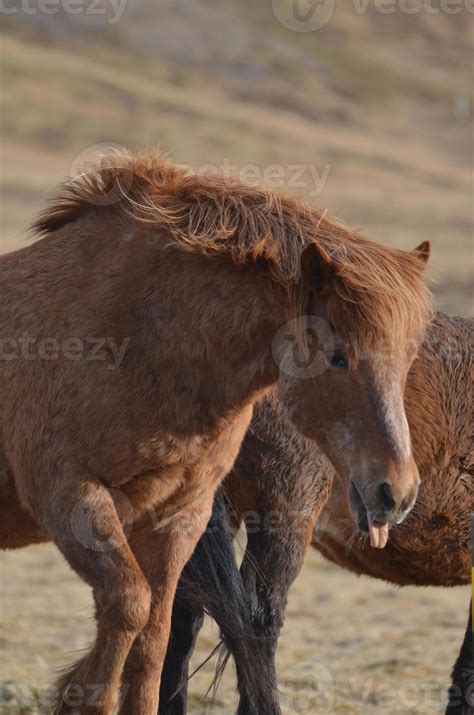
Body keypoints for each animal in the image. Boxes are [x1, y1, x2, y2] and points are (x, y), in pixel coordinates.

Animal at [0, 150, 431, 714]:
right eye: (338, 356)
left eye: (408, 359)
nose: (395, 493)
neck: (140, 334)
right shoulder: (70, 494)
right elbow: (129, 608)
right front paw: (78, 694)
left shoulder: (180, 513)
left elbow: (153, 642)